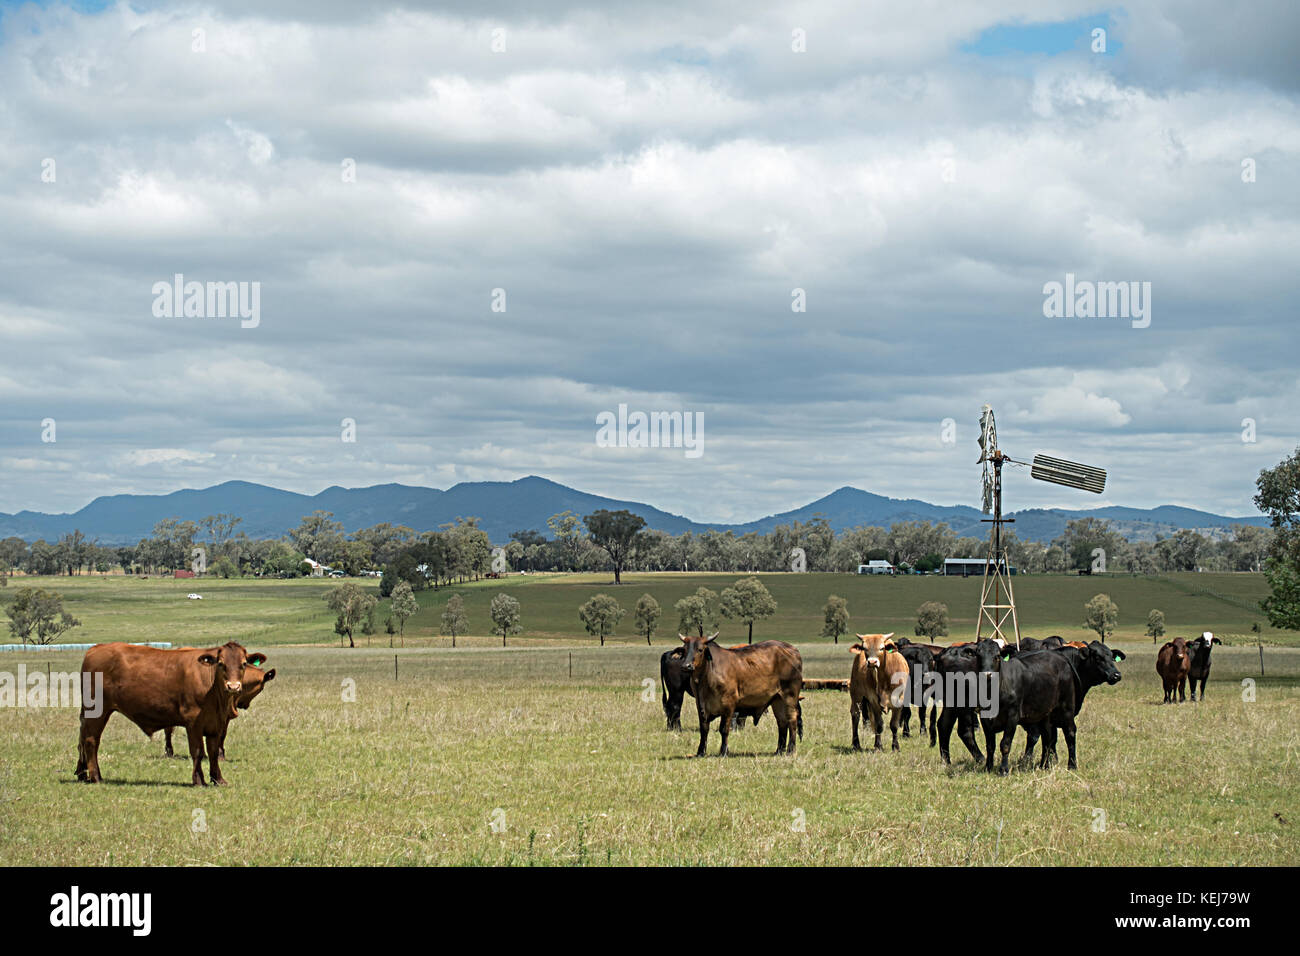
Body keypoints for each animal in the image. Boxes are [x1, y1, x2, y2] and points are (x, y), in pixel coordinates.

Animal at [75, 641, 265, 786]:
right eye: (221, 664)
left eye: (243, 664)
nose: (233, 686)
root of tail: (95, 649)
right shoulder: (193, 723)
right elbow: (198, 751)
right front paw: (199, 780)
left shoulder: (216, 724)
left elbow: (213, 752)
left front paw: (218, 779)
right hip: (97, 711)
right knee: (91, 740)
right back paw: (96, 777)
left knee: (83, 738)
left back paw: (83, 773)